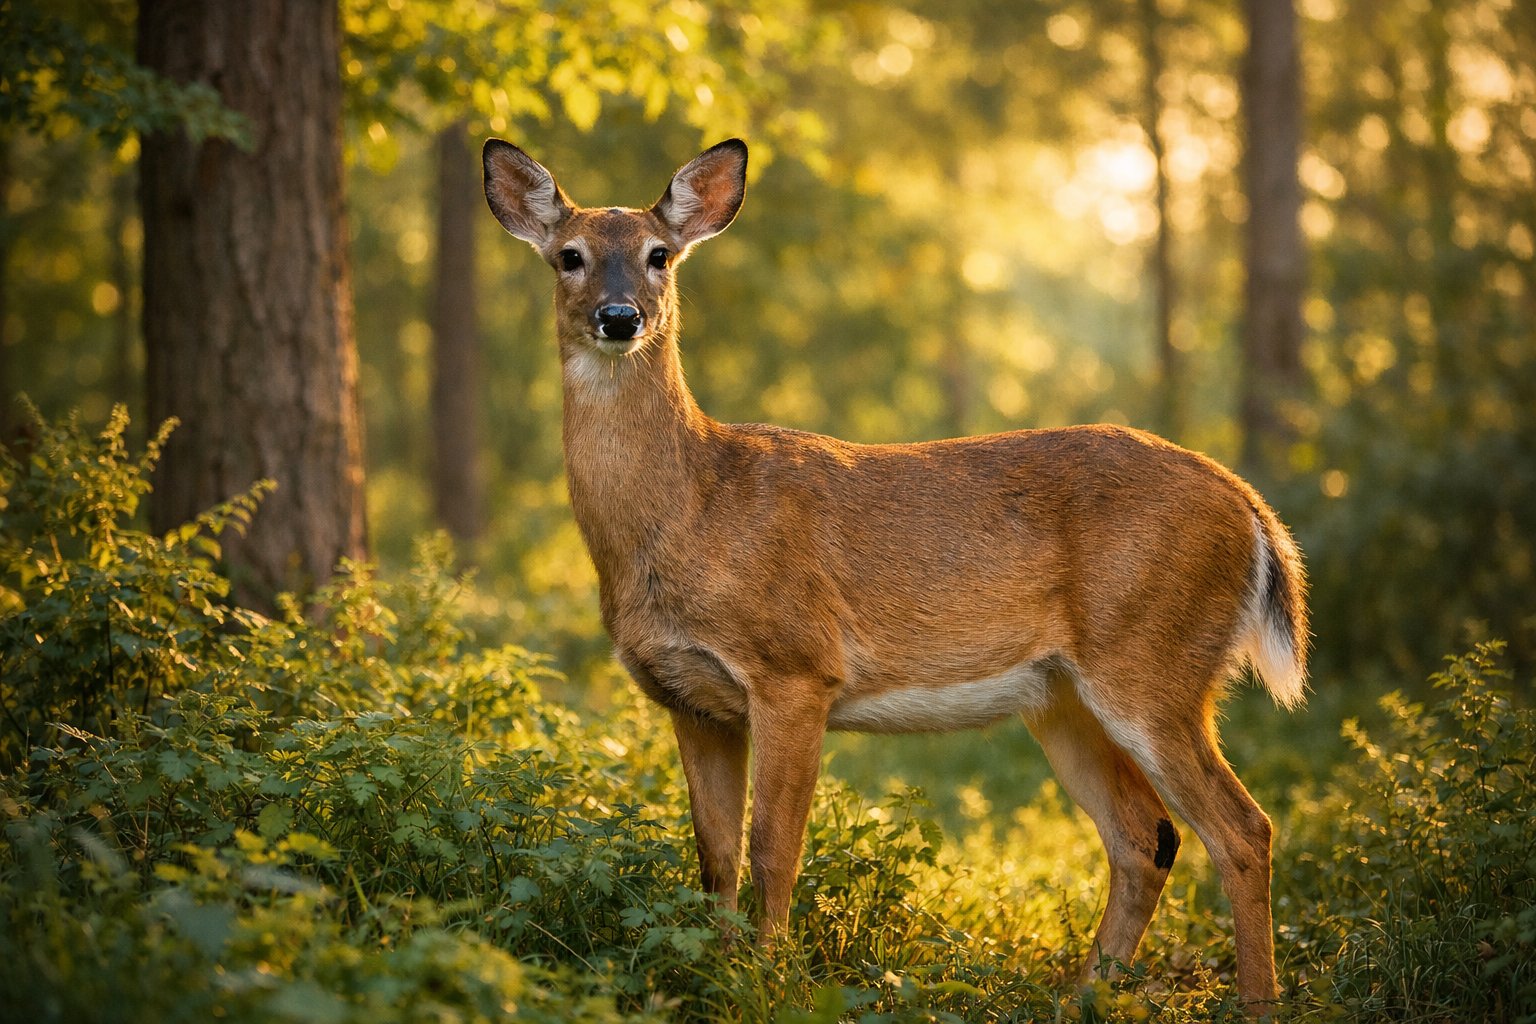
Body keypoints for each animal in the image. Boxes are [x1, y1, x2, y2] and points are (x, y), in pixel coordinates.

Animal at [482, 136, 1309, 1012]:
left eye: (658, 256)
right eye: (569, 256)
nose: (620, 317)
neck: (692, 509)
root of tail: (1252, 510)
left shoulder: (795, 667)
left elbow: (774, 846)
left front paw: (770, 983)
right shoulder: (693, 699)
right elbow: (714, 857)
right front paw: (721, 975)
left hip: (1153, 661)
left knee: (1241, 827)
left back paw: (1254, 1004)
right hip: (1062, 697)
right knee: (1145, 836)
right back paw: (1079, 995)